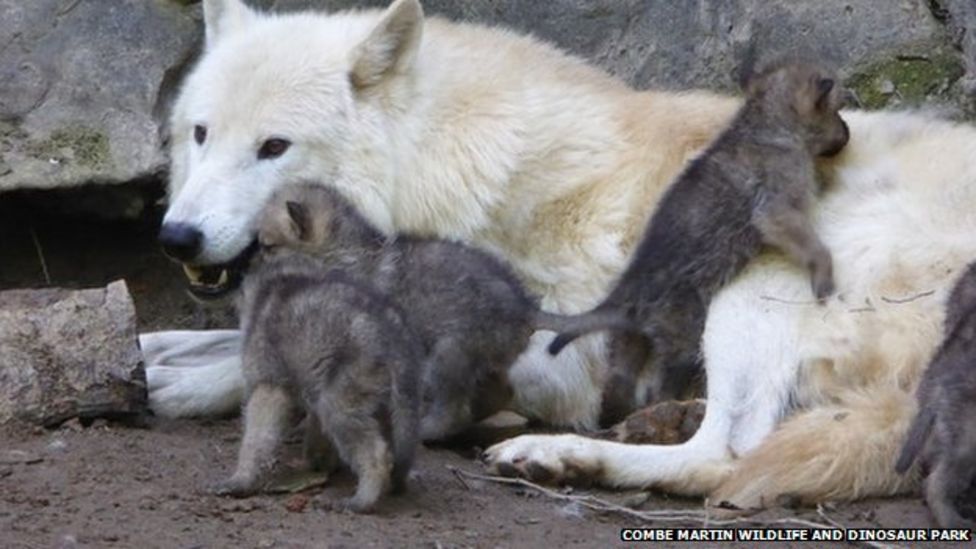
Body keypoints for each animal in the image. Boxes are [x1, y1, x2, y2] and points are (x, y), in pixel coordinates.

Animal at [214, 250, 422, 513]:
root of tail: (397, 346)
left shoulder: (268, 376)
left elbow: (259, 428)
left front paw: (239, 479)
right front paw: (318, 459)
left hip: (344, 392)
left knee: (375, 452)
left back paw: (360, 500)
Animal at [260, 182, 630, 439]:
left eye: (267, 246)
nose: (248, 270)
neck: (345, 251)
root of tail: (525, 309)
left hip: (447, 356)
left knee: (454, 411)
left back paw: (428, 432)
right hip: (488, 359)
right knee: (497, 394)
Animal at [547, 59, 848, 426]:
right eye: (836, 110)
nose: (848, 132)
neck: (764, 121)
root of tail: (626, 290)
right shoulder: (776, 210)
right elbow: (817, 249)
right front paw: (824, 282)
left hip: (631, 342)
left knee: (619, 385)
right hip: (682, 338)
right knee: (660, 388)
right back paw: (679, 406)